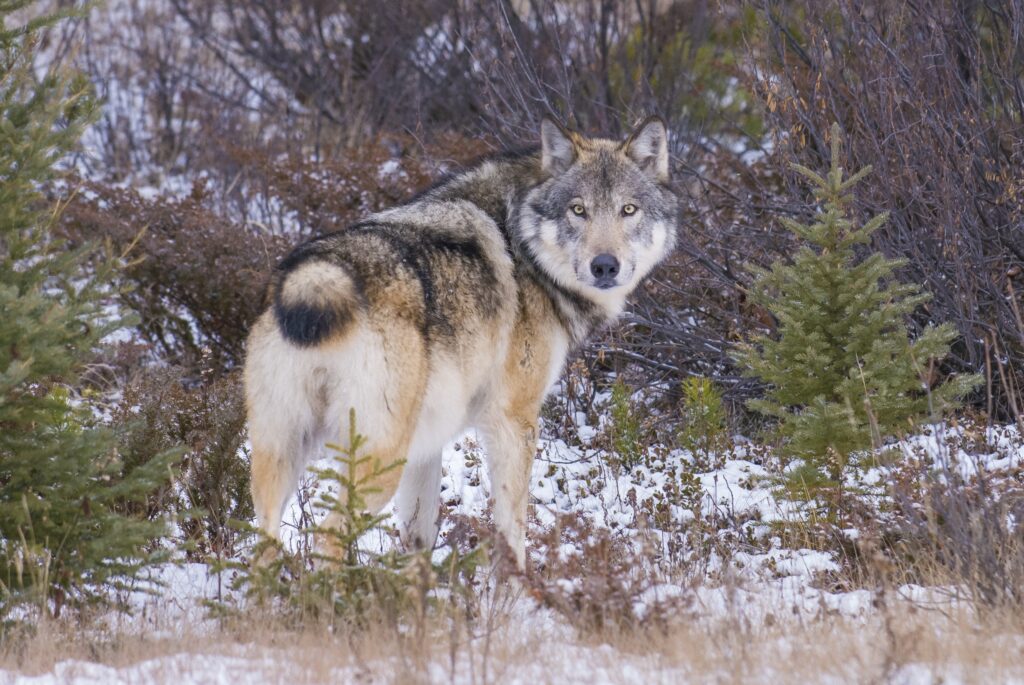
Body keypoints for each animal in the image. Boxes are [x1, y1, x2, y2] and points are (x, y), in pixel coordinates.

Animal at [244, 116, 678, 567]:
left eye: (628, 210)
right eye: (578, 210)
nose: (605, 266)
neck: (522, 240)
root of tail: (317, 279)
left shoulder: (427, 444)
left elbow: (418, 537)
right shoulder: (513, 421)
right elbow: (512, 530)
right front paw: (517, 584)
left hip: (281, 455)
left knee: (264, 545)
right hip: (378, 459)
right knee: (324, 539)